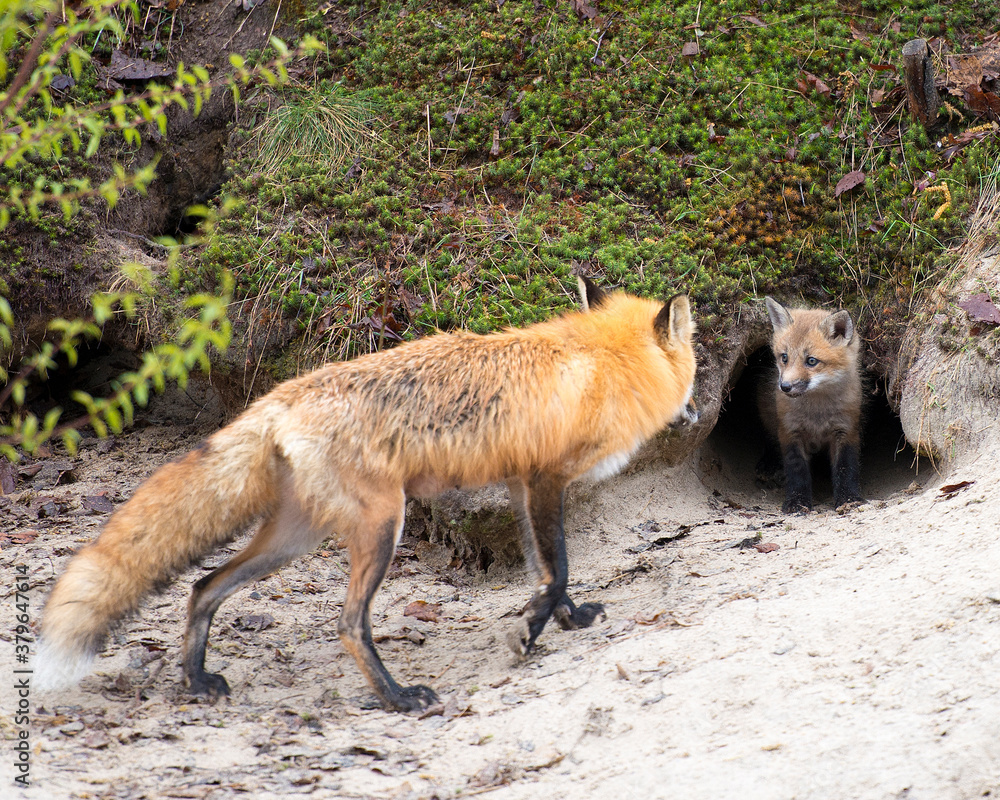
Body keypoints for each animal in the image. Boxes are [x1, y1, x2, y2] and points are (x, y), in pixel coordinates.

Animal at [34, 277, 698, 713]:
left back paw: (197, 681)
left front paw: (561, 622)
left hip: (293, 538)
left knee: (203, 587)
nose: (695, 413)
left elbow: (546, 572)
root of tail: (278, 399)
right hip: (382, 525)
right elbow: (557, 569)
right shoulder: (545, 479)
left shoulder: (518, 484)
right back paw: (398, 697)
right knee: (350, 624)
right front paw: (530, 632)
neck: (602, 361)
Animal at [758, 296, 863, 513]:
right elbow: (797, 472)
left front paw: (848, 499)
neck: (817, 413)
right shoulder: (789, 431)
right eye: (784, 357)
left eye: (811, 361)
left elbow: (846, 469)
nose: (785, 386)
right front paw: (797, 503)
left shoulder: (846, 430)